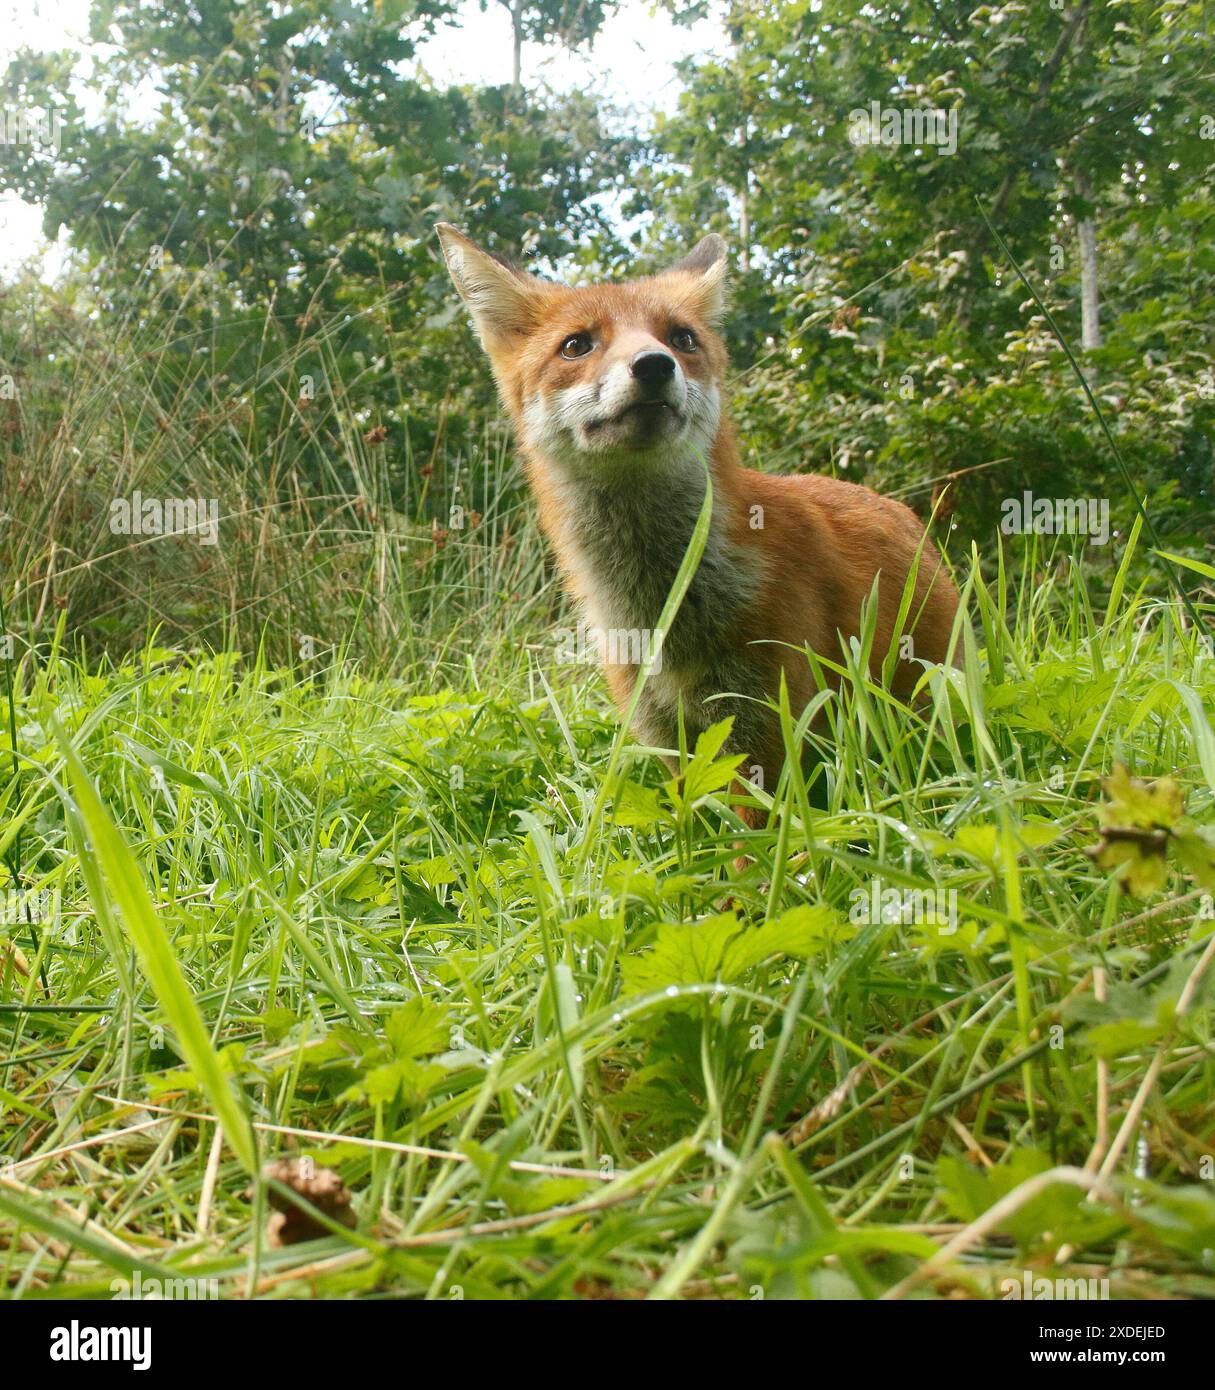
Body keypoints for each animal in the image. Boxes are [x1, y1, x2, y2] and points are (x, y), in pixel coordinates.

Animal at [436, 223, 960, 817]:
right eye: (576, 344)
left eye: (682, 339)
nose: (653, 364)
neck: (663, 609)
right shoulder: (660, 728)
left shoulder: (763, 727)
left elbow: (753, 834)